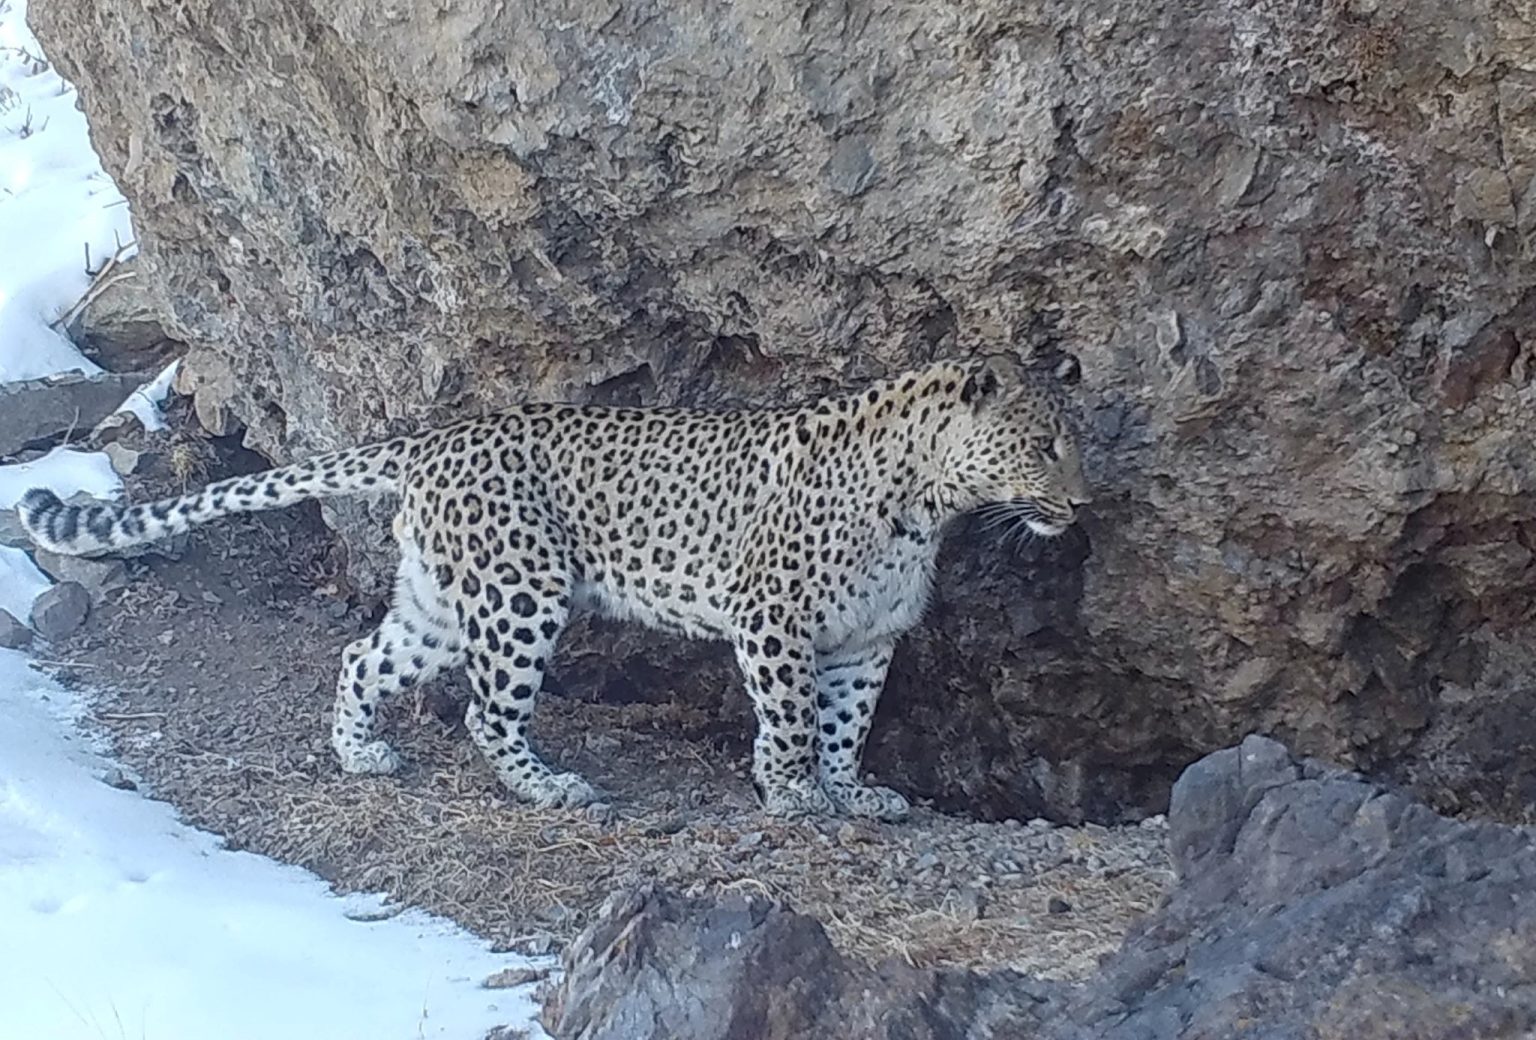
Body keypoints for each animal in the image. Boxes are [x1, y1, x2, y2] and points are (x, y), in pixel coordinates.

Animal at [19, 354, 1090, 822]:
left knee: (362, 654)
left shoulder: (865, 641)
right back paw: (548, 785)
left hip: (442, 602)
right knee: (486, 713)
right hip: (521, 593)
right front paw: (789, 795)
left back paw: (360, 754)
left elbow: (846, 724)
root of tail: (434, 439)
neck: (929, 498)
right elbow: (790, 719)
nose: (1082, 504)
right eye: (1044, 444)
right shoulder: (773, 619)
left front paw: (851, 792)